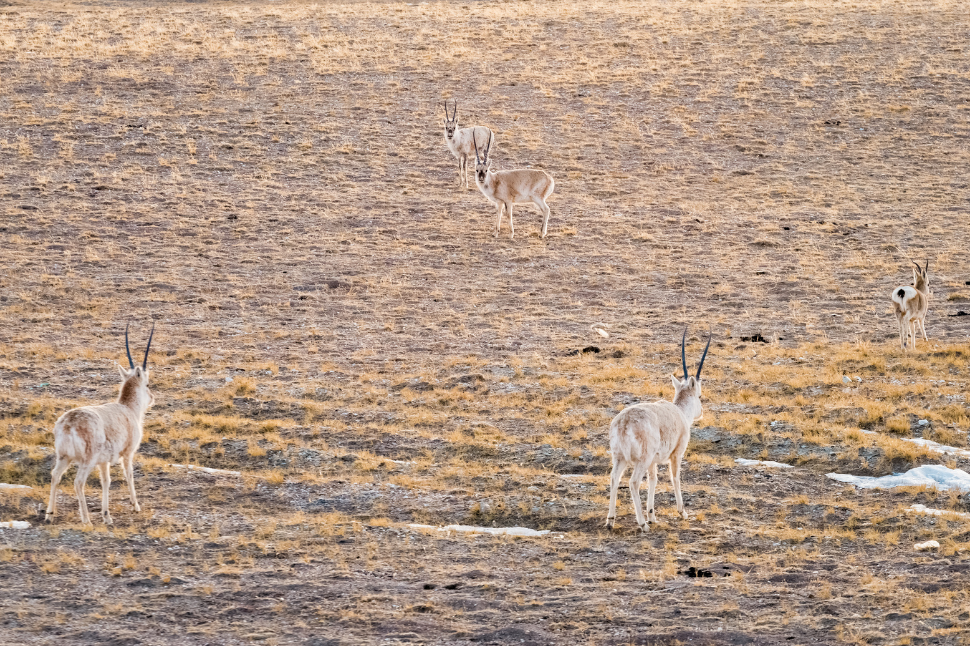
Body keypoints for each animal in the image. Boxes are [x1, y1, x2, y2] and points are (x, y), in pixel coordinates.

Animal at [45, 323, 155, 525]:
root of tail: (69, 423)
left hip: (64, 457)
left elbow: (106, 481)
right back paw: (86, 520)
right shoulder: (127, 454)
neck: (127, 408)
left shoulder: (104, 462)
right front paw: (135, 506)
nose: (152, 398)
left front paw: (107, 516)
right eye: (147, 384)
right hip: (87, 460)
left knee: (55, 475)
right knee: (78, 482)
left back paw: (49, 515)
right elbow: (129, 475)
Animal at [605, 329, 711, 533]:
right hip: (641, 459)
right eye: (700, 395)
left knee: (614, 478)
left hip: (620, 458)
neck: (679, 411)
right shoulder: (676, 454)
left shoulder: (653, 462)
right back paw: (642, 524)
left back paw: (610, 521)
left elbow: (653, 480)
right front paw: (682, 512)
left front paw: (653, 515)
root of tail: (624, 423)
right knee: (633, 482)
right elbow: (675, 477)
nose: (701, 412)